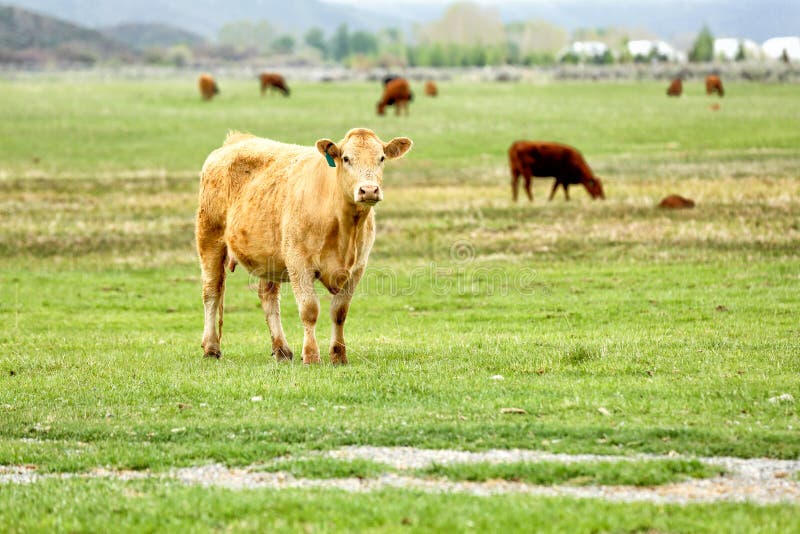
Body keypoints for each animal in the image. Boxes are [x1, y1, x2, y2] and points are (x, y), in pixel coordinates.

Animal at [196, 128, 413, 365]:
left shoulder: (357, 268)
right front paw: (311, 355)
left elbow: (339, 311)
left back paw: (281, 349)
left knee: (268, 297)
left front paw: (338, 355)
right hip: (210, 240)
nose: (369, 190)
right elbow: (309, 310)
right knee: (211, 293)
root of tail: (236, 140)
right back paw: (211, 348)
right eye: (346, 158)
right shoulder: (299, 263)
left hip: (268, 256)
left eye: (381, 158)